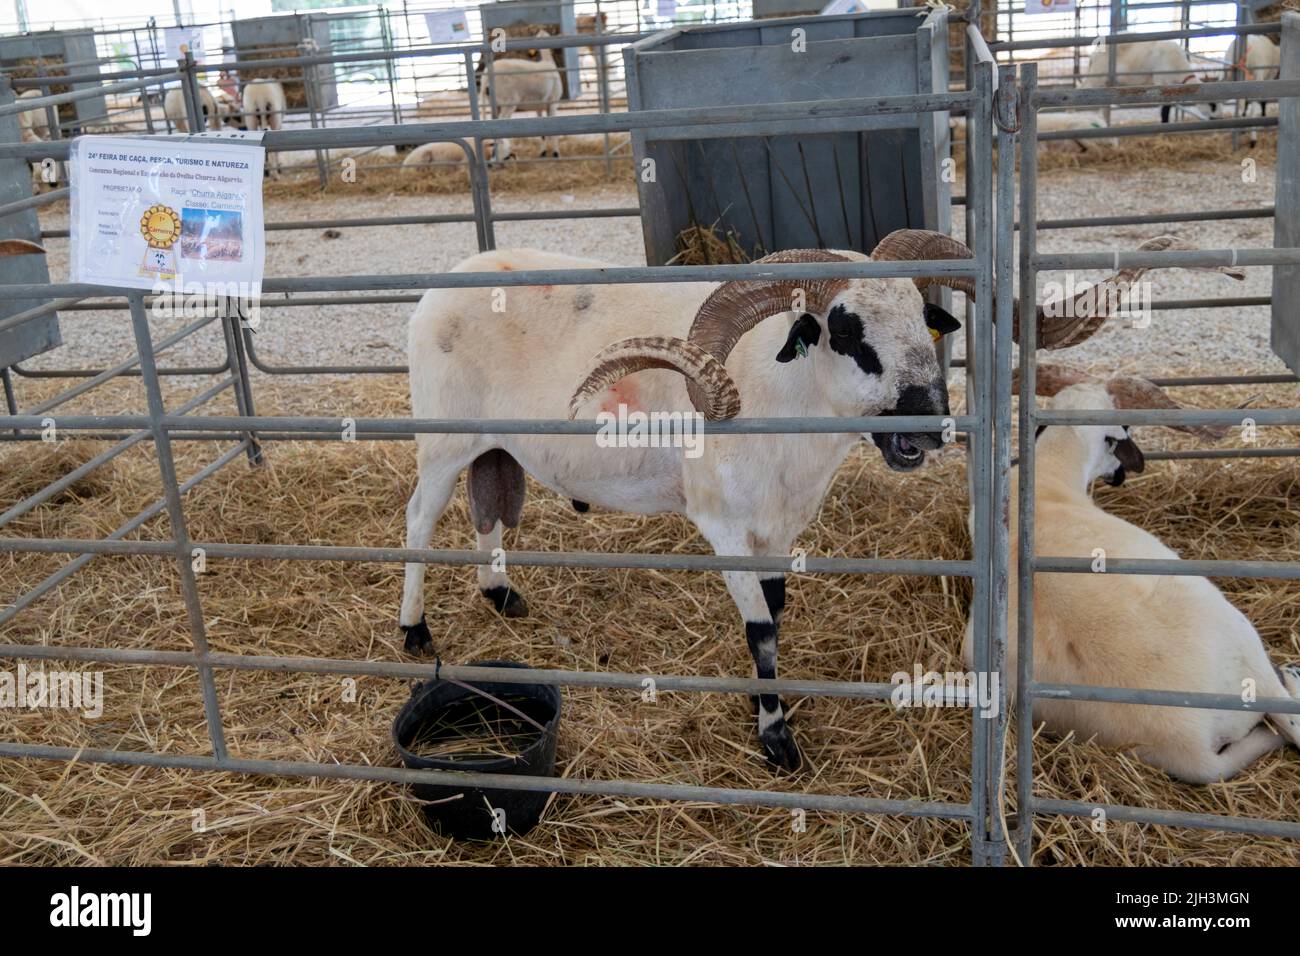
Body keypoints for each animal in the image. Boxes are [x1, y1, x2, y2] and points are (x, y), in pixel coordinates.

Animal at [398, 229, 1195, 771]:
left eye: (927, 320)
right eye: (842, 329)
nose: (926, 421)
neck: (781, 406)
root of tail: (446, 283)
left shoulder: (780, 528)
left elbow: (777, 617)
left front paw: (766, 706)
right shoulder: (723, 526)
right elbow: (759, 631)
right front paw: (776, 739)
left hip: (495, 447)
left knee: (489, 505)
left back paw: (501, 594)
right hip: (441, 441)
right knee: (418, 521)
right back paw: (415, 634)